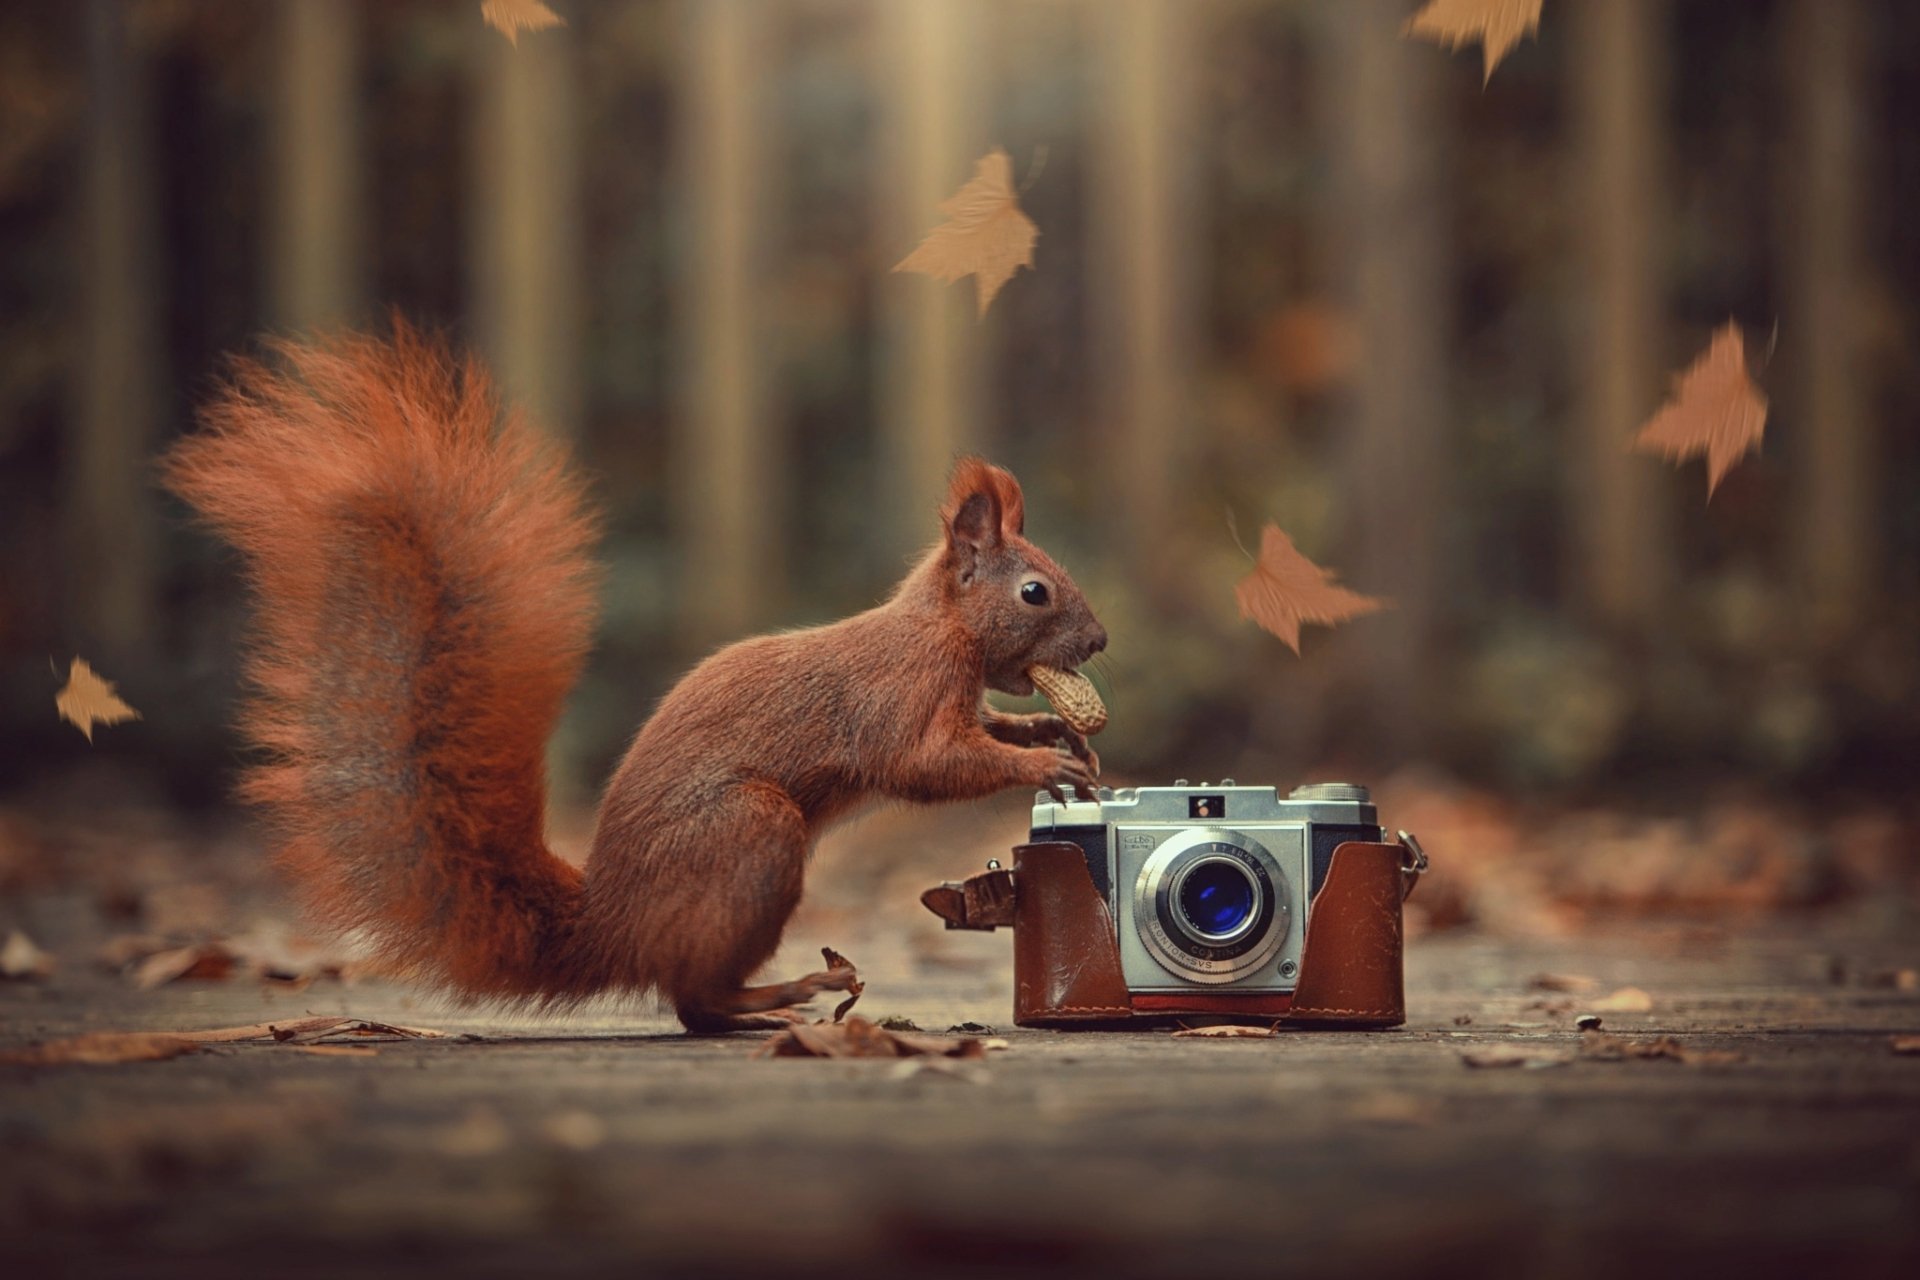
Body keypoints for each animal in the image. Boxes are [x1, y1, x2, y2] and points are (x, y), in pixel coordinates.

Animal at [165, 324, 1108, 1032]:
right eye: (1035, 591)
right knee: (692, 999)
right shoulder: (902, 695)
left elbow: (981, 734)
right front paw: (1045, 763)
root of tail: (610, 926)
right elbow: (928, 763)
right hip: (750, 835)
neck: (939, 628)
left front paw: (1049, 733)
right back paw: (787, 994)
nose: (1099, 643)